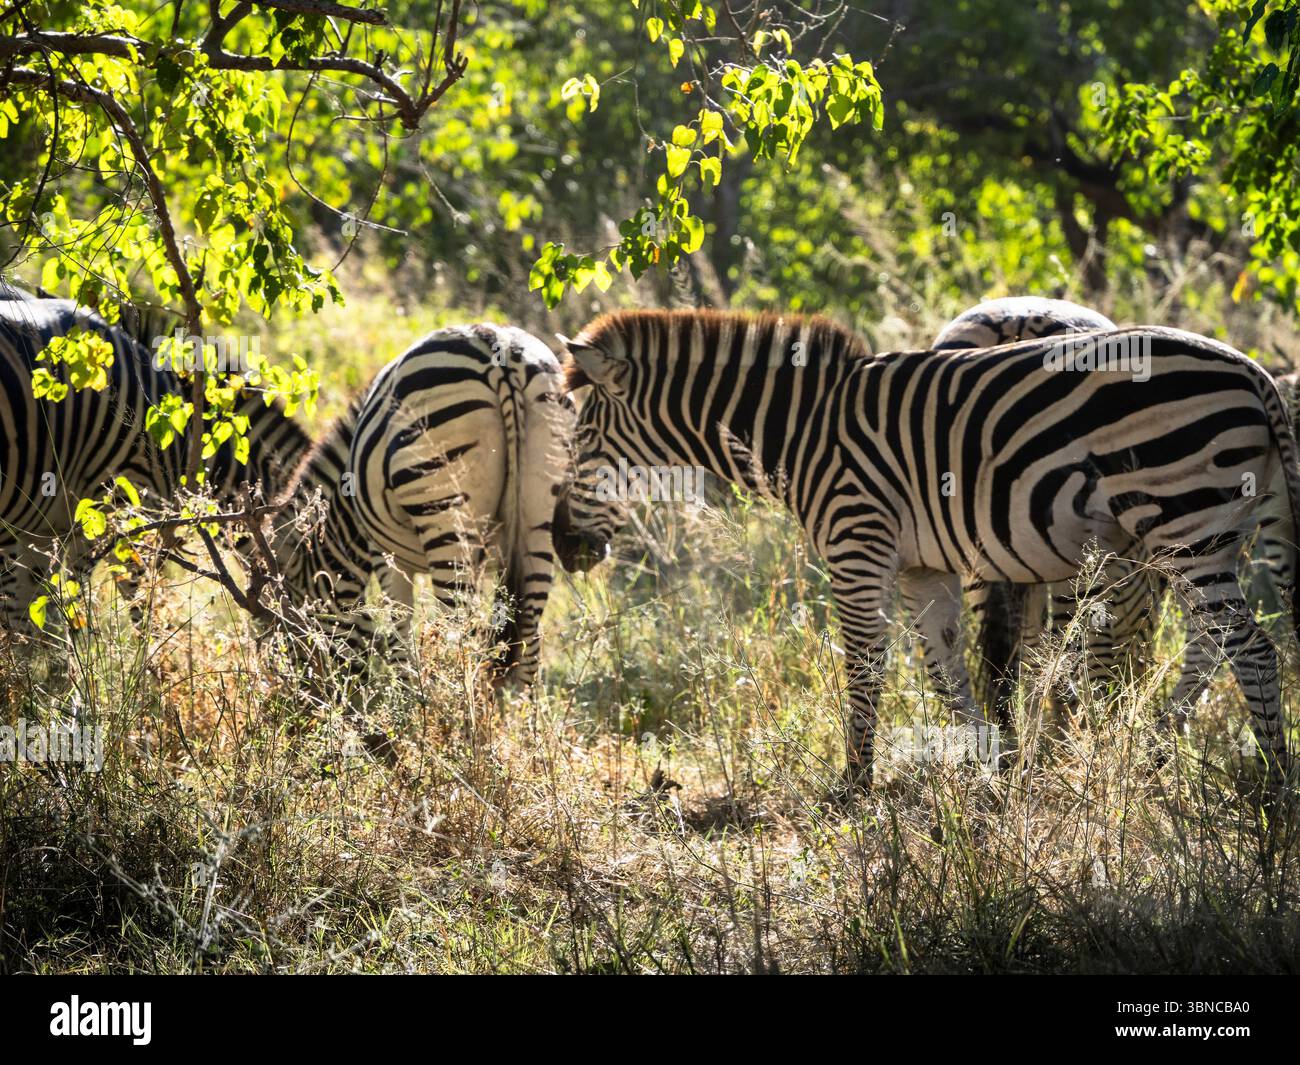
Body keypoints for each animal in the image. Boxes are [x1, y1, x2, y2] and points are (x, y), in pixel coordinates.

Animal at [0, 297, 312, 631]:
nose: (316, 641)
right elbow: (128, 603)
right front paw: (138, 648)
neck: (183, 437)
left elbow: (29, 615)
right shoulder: (120, 509)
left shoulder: (41, 528)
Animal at [271, 323, 573, 689]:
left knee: (458, 634)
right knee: (527, 637)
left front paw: (409, 699)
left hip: (446, 510)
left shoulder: (384, 553)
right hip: (538, 511)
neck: (346, 520)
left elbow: (400, 634)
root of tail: (494, 344)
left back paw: (452, 702)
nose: (302, 693)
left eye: (290, 627)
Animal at [552, 310, 1300, 789]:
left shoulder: (856, 543)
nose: (562, 546)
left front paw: (855, 782)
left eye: (583, 439)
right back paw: (1159, 753)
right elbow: (945, 671)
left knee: (1254, 650)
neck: (801, 430)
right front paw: (993, 767)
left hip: (1184, 520)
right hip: (1210, 531)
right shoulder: (922, 566)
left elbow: (865, 665)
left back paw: (1273, 784)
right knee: (1212, 643)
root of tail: (1254, 371)